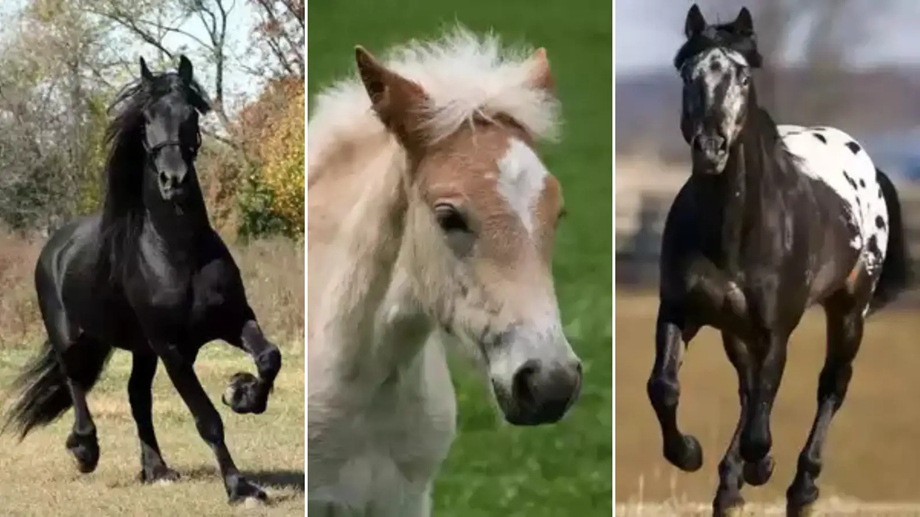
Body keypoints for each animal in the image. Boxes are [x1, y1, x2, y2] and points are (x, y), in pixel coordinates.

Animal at [1, 56, 283, 504]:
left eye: (190, 114)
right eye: (146, 118)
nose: (174, 180)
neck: (179, 251)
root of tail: (55, 245)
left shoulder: (233, 320)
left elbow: (269, 357)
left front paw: (240, 392)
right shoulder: (172, 349)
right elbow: (207, 419)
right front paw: (241, 488)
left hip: (139, 348)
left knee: (136, 396)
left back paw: (157, 469)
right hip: (73, 336)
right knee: (75, 379)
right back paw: (85, 449)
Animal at [647, 5, 914, 516]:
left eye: (742, 76)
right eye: (688, 75)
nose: (711, 148)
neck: (733, 231)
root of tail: (868, 165)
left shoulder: (775, 329)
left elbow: (763, 416)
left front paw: (761, 466)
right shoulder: (680, 310)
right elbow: (664, 386)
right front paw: (689, 453)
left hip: (849, 309)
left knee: (831, 385)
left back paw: (800, 488)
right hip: (736, 331)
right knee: (749, 390)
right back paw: (729, 488)